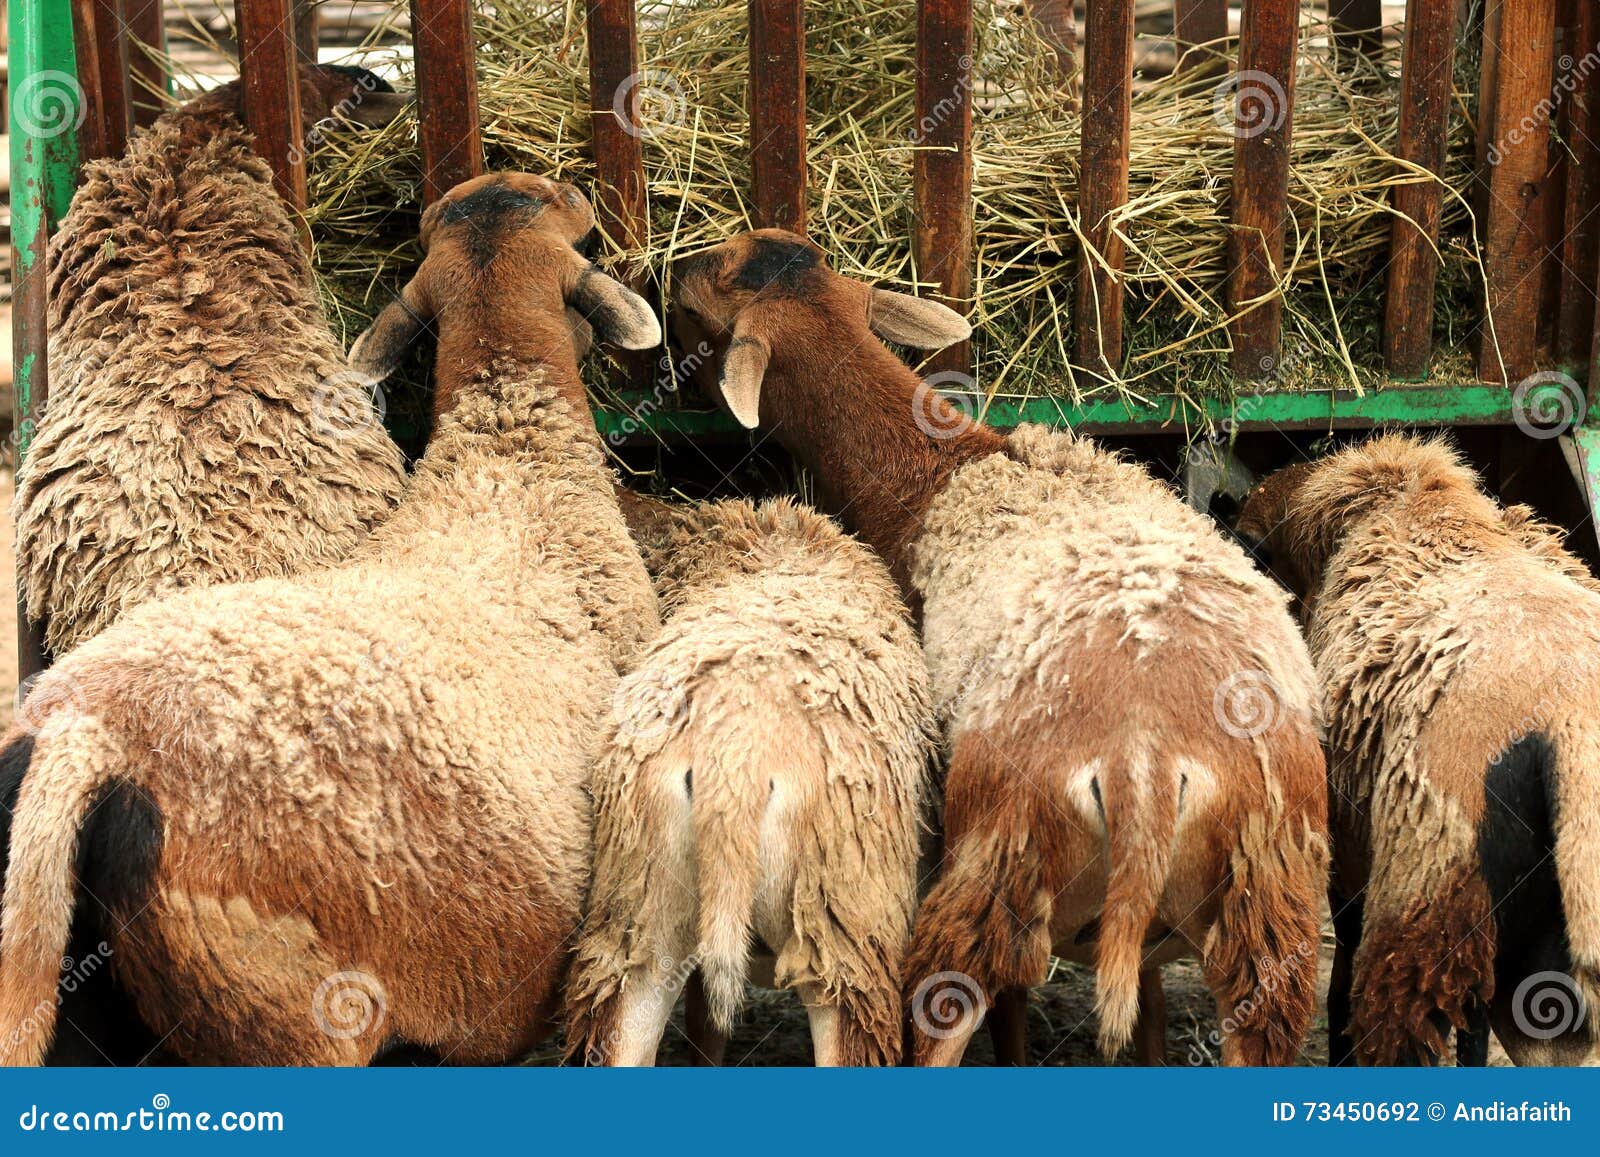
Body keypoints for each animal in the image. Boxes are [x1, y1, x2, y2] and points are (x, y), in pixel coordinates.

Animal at [670, 230, 1329, 1066]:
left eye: (703, 305)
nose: (666, 275)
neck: (941, 473)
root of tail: (1145, 767)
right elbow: (1148, 1007)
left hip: (999, 854)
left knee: (946, 1009)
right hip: (1266, 905)